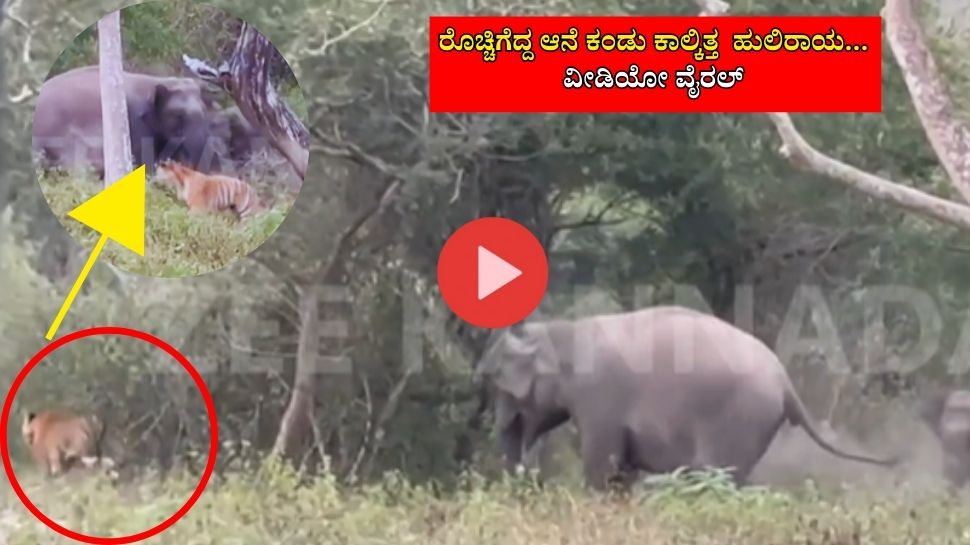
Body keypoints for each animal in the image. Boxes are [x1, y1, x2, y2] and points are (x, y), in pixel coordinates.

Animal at [475, 305, 899, 490]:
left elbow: (603, 462)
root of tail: (785, 381)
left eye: (499, 386)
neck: (564, 329)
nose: (526, 482)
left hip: (741, 418)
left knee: (718, 476)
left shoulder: (599, 399)